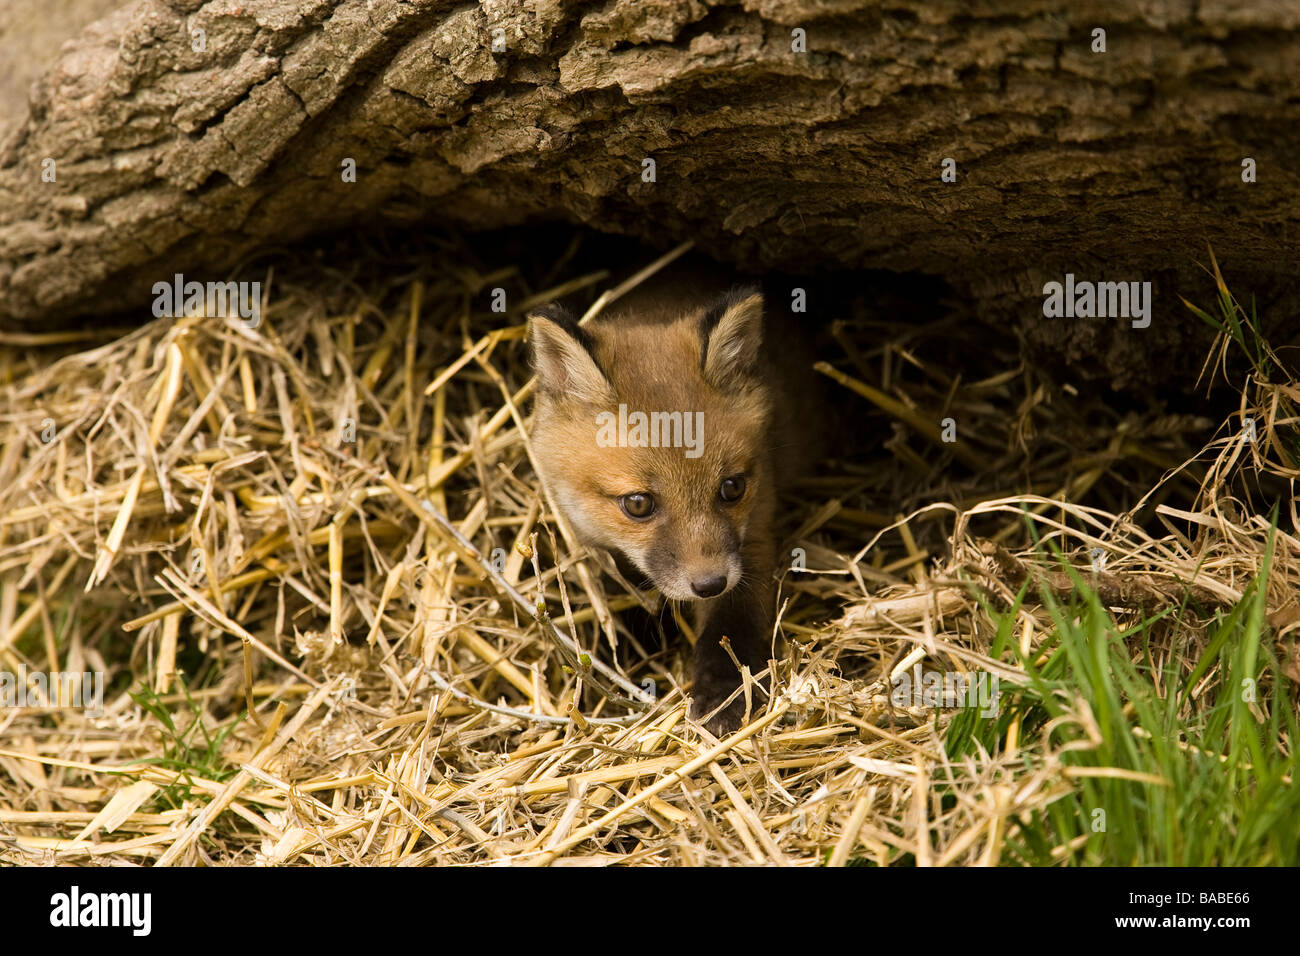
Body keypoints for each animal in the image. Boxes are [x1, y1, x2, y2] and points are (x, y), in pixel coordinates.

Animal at [526, 263, 821, 734]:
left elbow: (732, 626)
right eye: (638, 504)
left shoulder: (754, 536)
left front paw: (723, 699)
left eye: (732, 488)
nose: (709, 583)